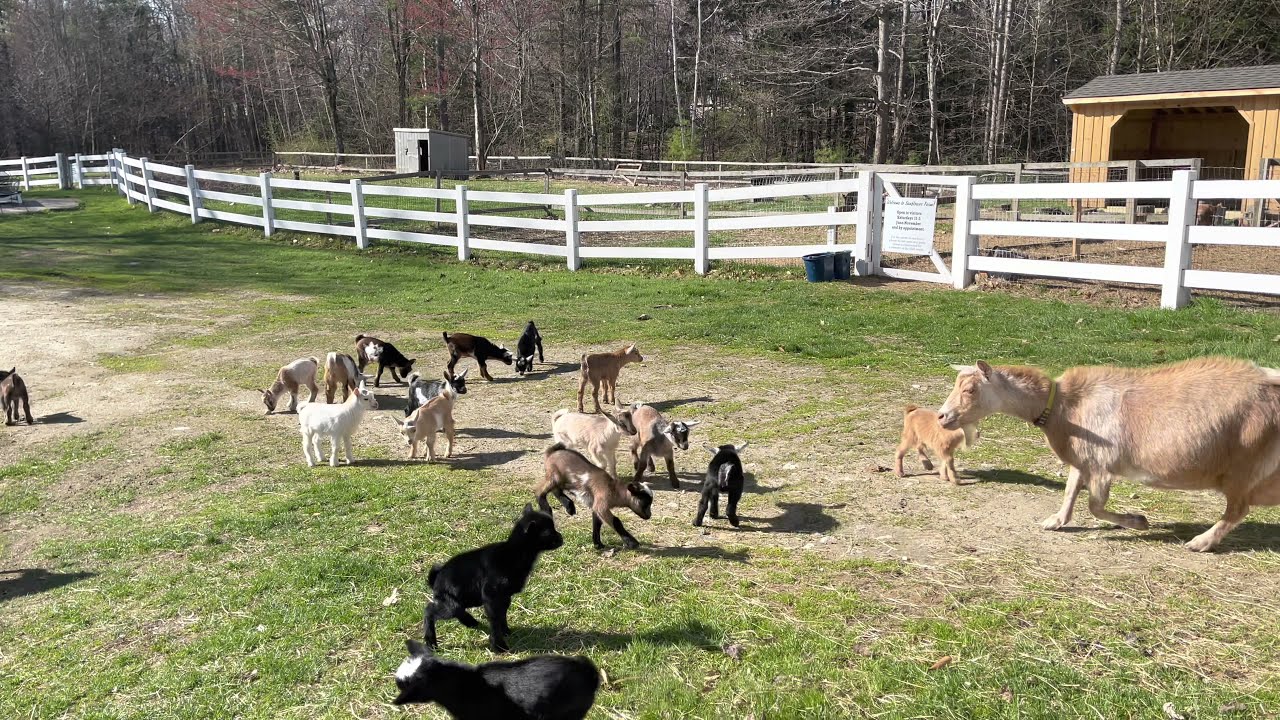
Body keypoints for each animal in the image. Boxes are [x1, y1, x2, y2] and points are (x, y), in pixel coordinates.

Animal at [422, 504, 563, 653]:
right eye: (549, 533)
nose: (561, 538)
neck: (514, 553)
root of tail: (436, 577)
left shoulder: (505, 596)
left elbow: (502, 615)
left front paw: (506, 631)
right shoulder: (491, 595)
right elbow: (495, 619)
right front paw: (499, 646)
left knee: (455, 610)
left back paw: (470, 622)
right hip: (450, 604)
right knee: (430, 611)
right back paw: (431, 643)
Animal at [938, 357, 1280, 552]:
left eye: (970, 389)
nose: (942, 417)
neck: (1064, 405)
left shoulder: (1102, 464)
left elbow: (1095, 506)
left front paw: (1138, 522)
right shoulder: (1082, 459)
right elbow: (1070, 490)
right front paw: (1056, 521)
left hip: (1245, 465)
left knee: (1237, 509)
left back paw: (1200, 543)